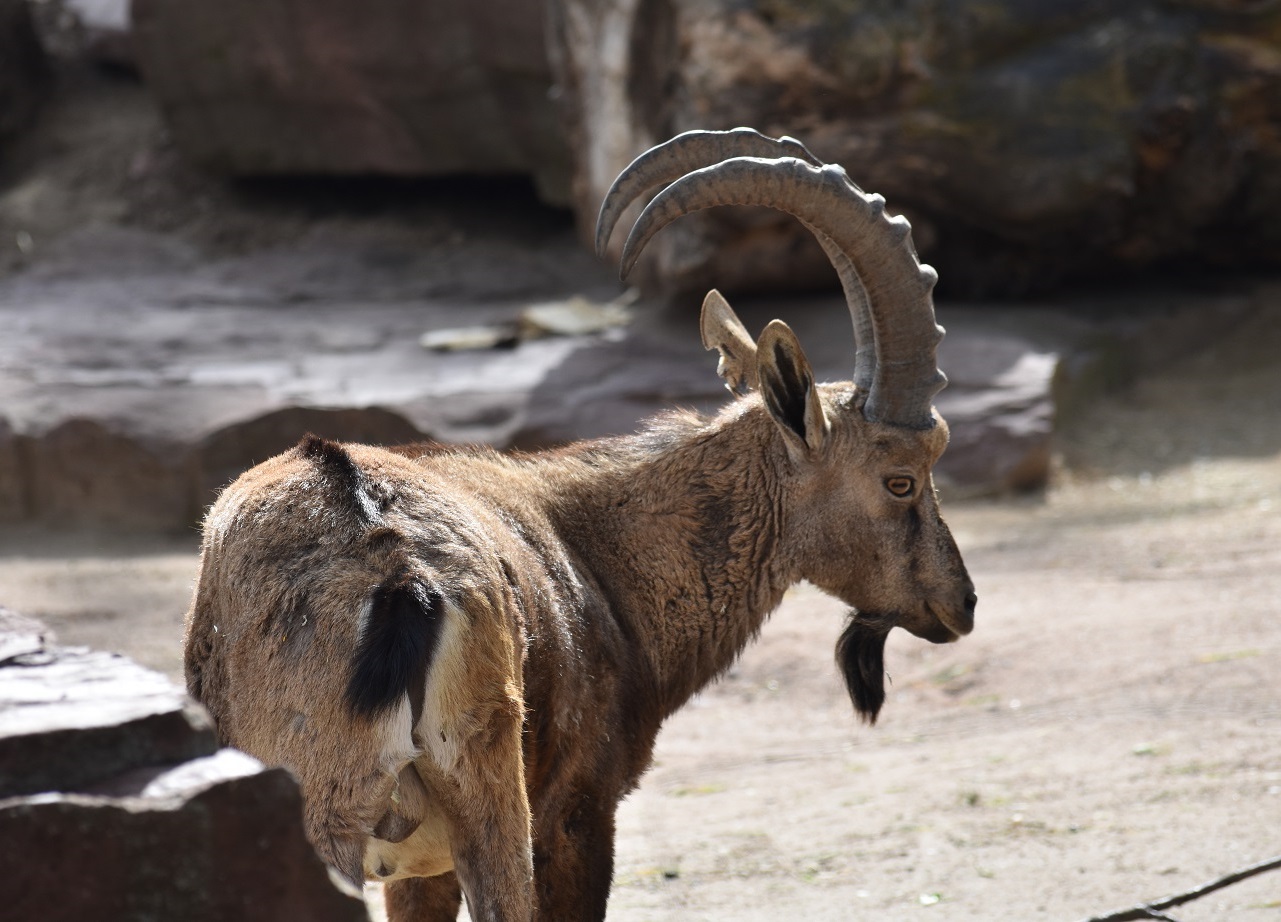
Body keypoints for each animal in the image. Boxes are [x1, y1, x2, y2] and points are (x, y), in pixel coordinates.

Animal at [183, 127, 977, 922]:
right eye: (901, 478)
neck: (606, 555)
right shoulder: (579, 812)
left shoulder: (426, 865)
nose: (960, 604)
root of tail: (395, 570)